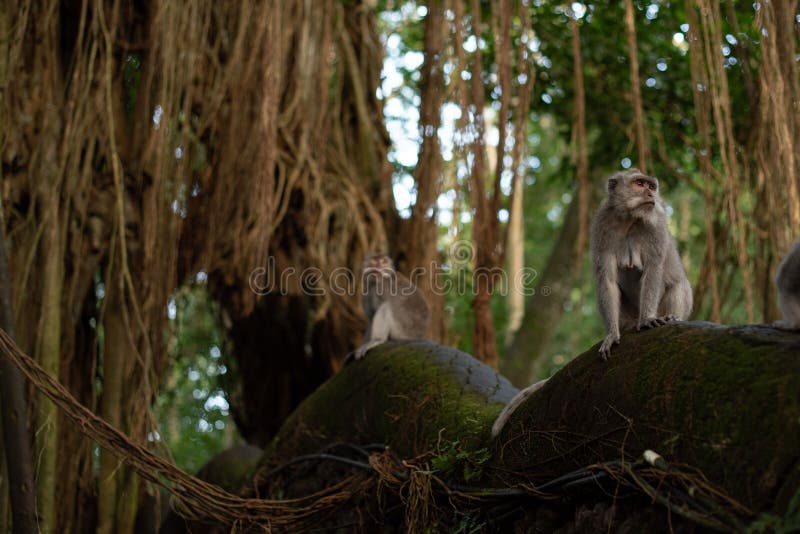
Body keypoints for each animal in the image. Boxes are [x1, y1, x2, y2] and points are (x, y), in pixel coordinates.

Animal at [590, 168, 693, 359]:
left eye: (651, 186)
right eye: (639, 184)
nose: (651, 194)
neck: (629, 220)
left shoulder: (656, 227)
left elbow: (653, 270)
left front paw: (646, 319)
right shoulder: (602, 228)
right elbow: (607, 280)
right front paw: (612, 333)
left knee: (680, 284)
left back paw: (671, 318)